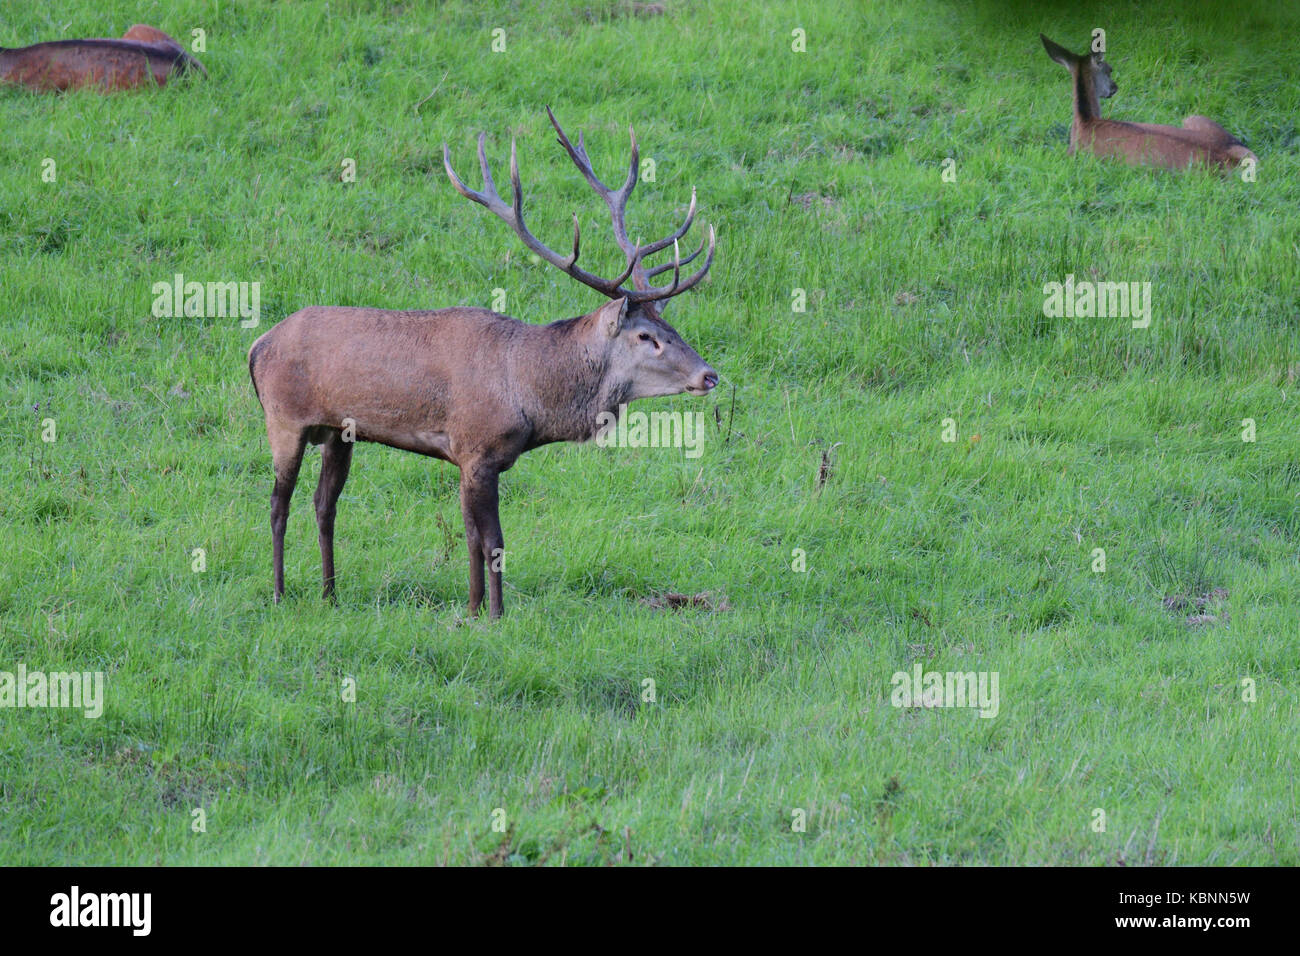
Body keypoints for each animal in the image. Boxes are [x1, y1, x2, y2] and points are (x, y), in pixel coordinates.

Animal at [248, 108, 718, 619]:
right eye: (646, 336)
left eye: (673, 328)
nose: (709, 374)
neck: (530, 397)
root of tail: (256, 346)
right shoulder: (477, 449)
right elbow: (492, 540)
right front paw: (494, 615)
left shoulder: (469, 457)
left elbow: (472, 537)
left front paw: (472, 609)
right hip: (284, 419)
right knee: (277, 502)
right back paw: (279, 591)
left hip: (338, 433)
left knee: (324, 503)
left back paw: (330, 593)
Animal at [1040, 34, 1255, 171]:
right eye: (1109, 69)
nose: (1115, 87)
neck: (1085, 120)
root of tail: (1237, 159)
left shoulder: (1072, 154)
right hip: (1195, 118)